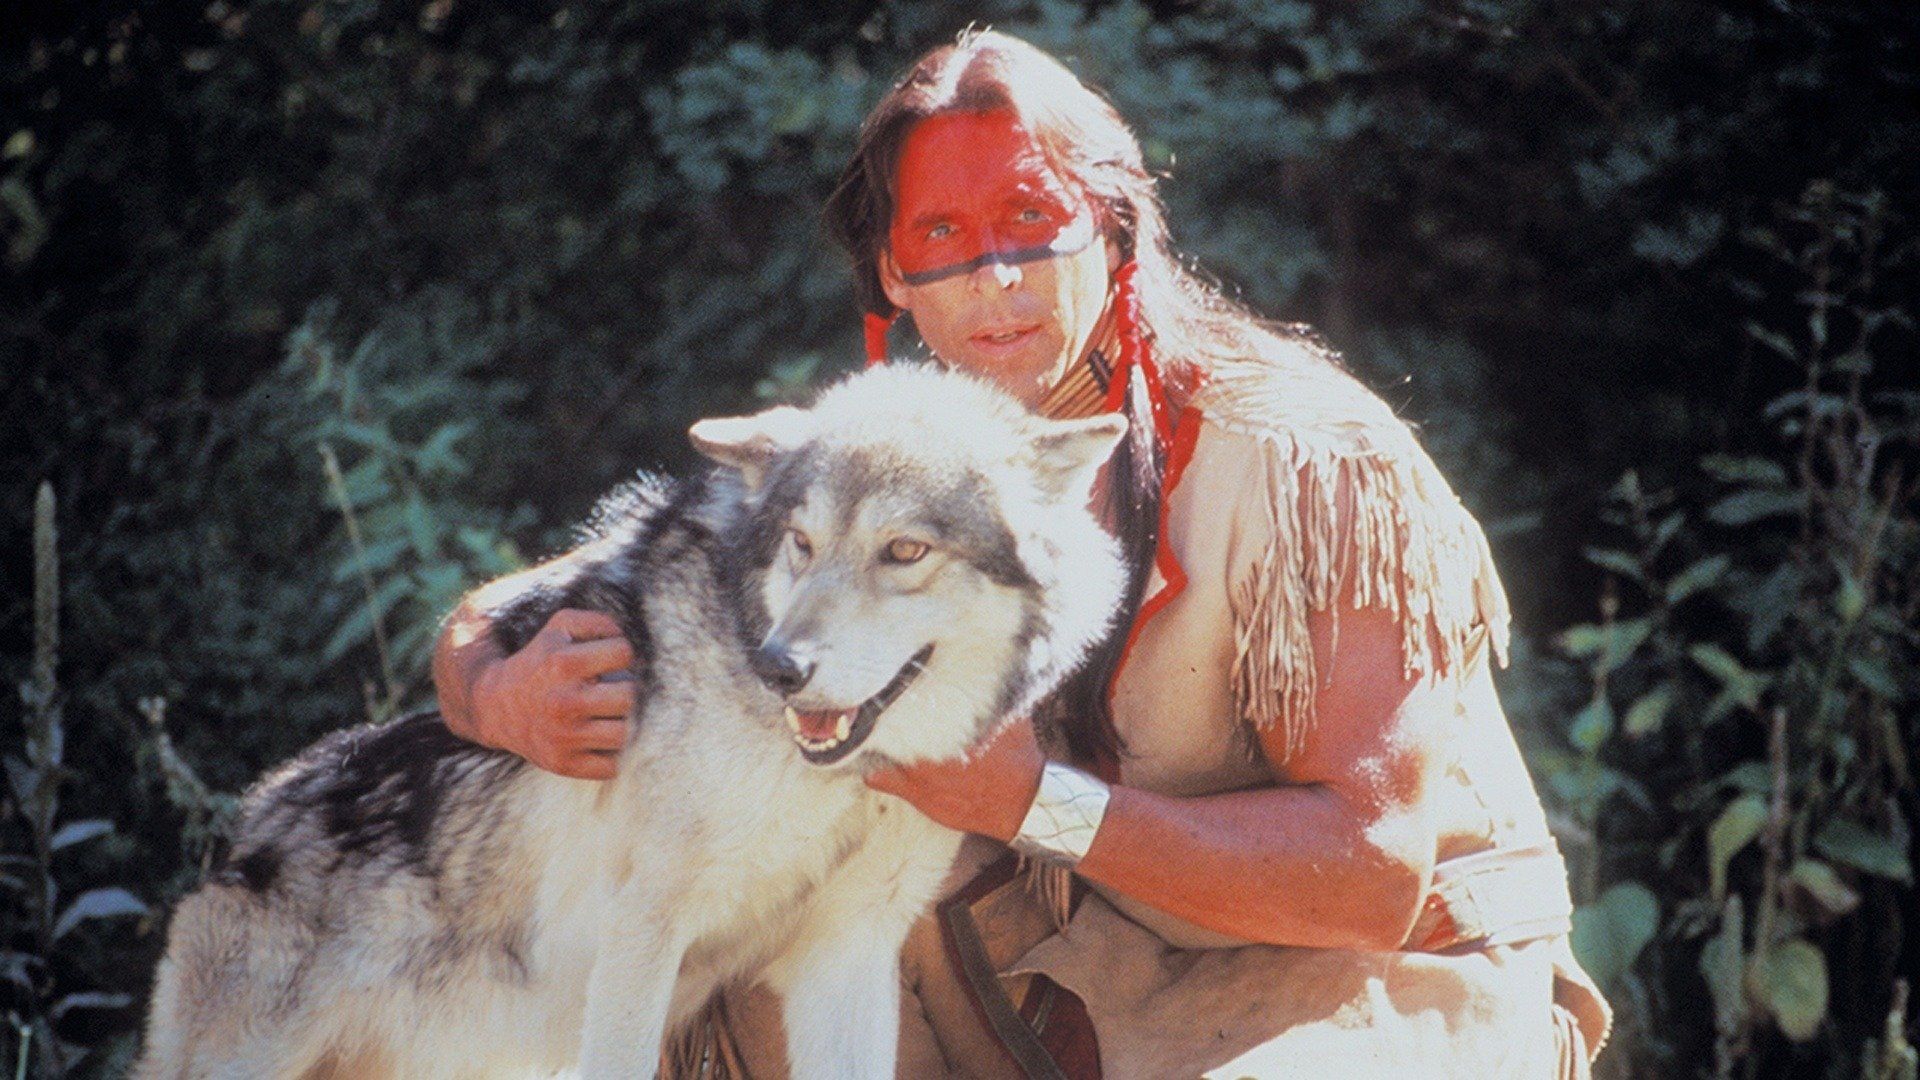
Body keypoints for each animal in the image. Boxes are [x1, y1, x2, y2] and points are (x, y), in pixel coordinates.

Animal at [136, 363, 1128, 1080]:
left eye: (906, 550)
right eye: (801, 544)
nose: (779, 667)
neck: (828, 781)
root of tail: (242, 835)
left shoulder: (845, 956)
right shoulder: (642, 936)